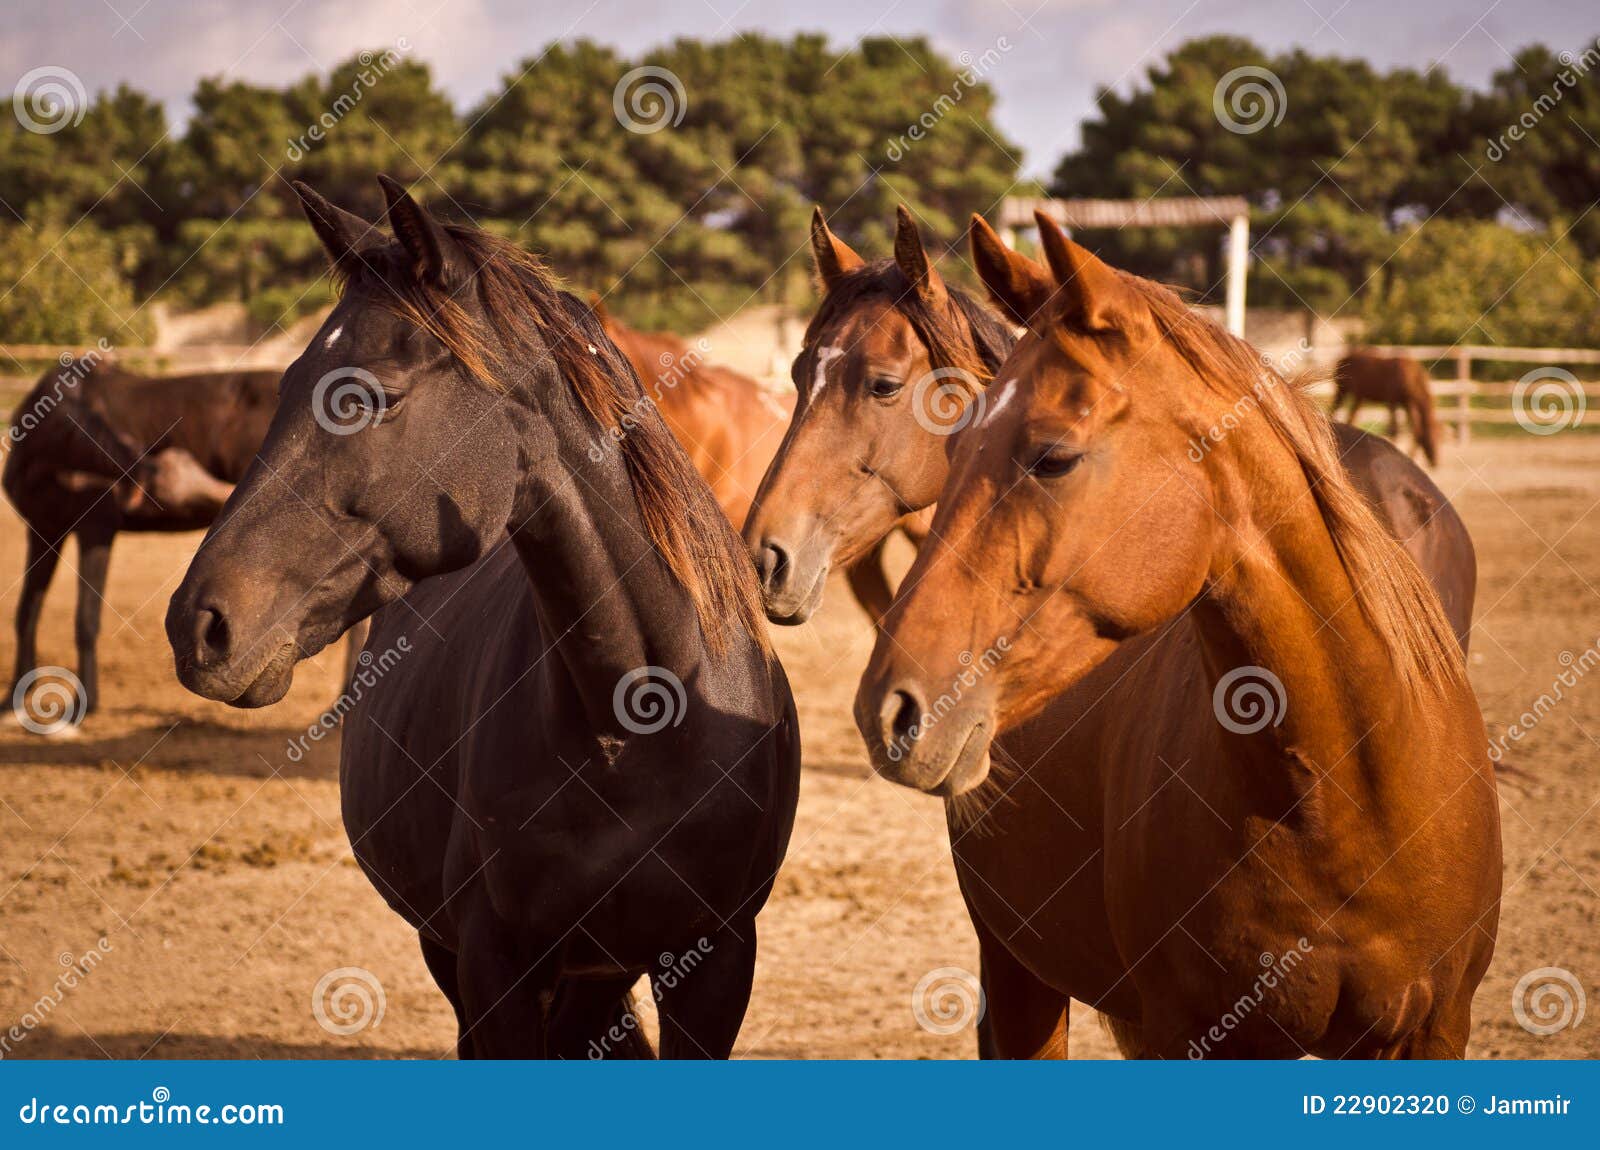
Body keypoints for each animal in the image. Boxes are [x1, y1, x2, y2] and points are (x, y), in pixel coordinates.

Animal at [3, 361, 368, 720]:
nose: (223, 494)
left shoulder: (96, 531)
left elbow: (86, 619)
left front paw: (86, 703)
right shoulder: (44, 532)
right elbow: (26, 611)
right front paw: (14, 698)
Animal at [164, 176, 801, 1058]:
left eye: (371, 398)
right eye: (288, 383)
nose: (198, 623)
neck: (638, 719)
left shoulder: (715, 964)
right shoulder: (495, 968)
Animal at [851, 211, 1501, 1059]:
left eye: (1053, 456)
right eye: (955, 445)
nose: (886, 709)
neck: (1350, 791)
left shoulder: (1433, 1028)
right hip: (1018, 972)